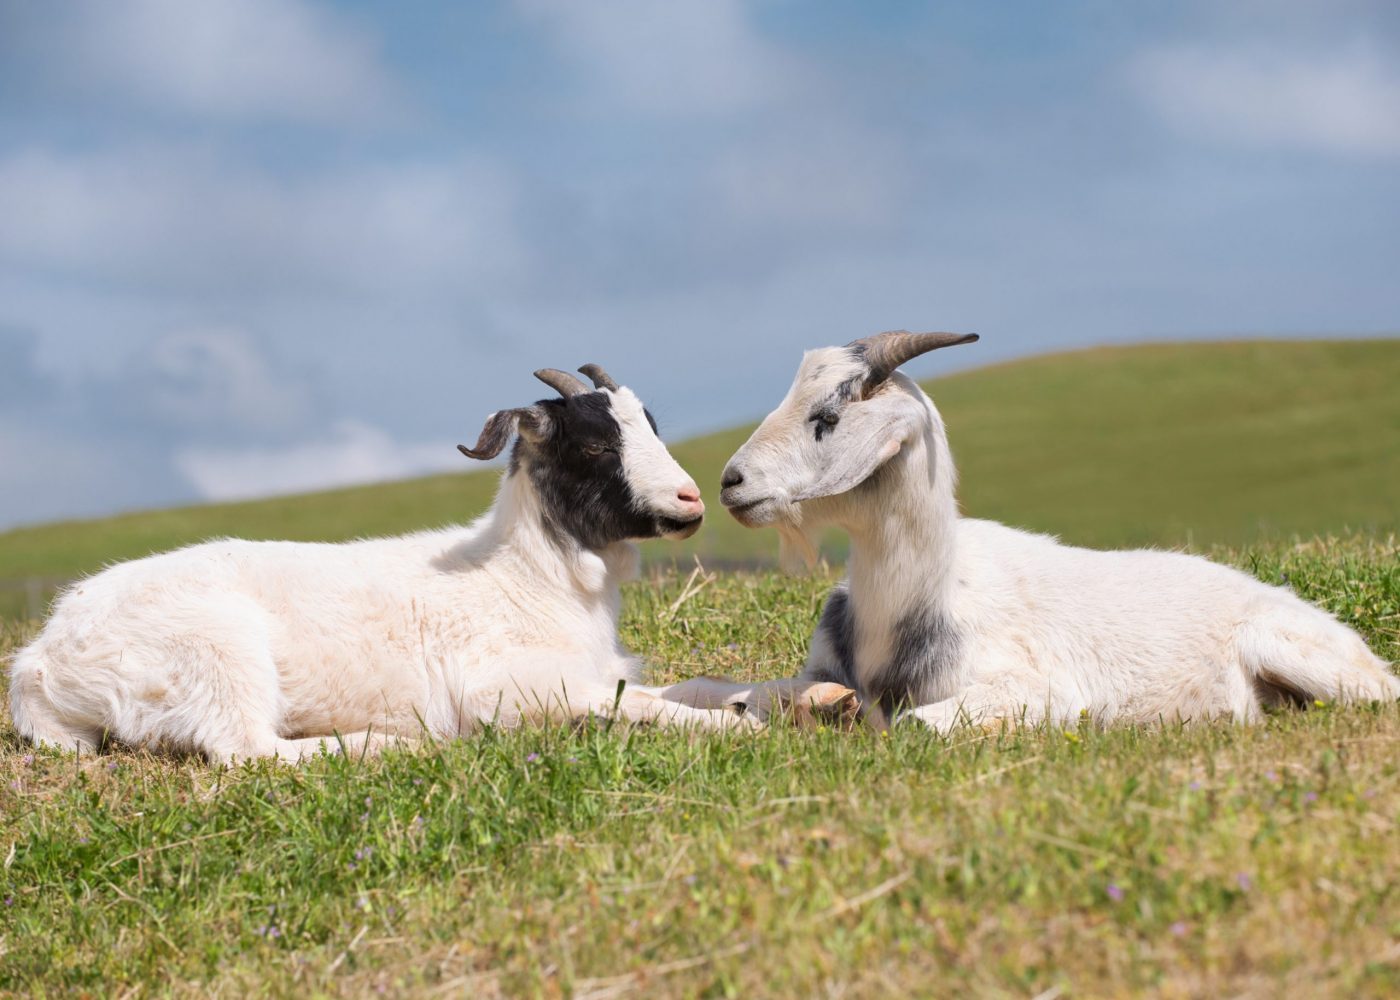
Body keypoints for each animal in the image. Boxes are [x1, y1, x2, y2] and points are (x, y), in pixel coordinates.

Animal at [10, 365, 752, 762]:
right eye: (596, 446)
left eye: (650, 425)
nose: (691, 500)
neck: (530, 581)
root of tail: (41, 664)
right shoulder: (507, 692)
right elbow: (639, 707)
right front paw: (733, 726)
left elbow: (681, 686)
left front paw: (742, 697)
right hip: (217, 656)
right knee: (248, 751)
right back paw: (388, 745)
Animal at [715, 331, 1400, 730]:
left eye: (827, 417)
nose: (731, 481)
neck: (917, 603)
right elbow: (748, 696)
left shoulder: (1039, 691)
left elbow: (914, 725)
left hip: (1295, 653)